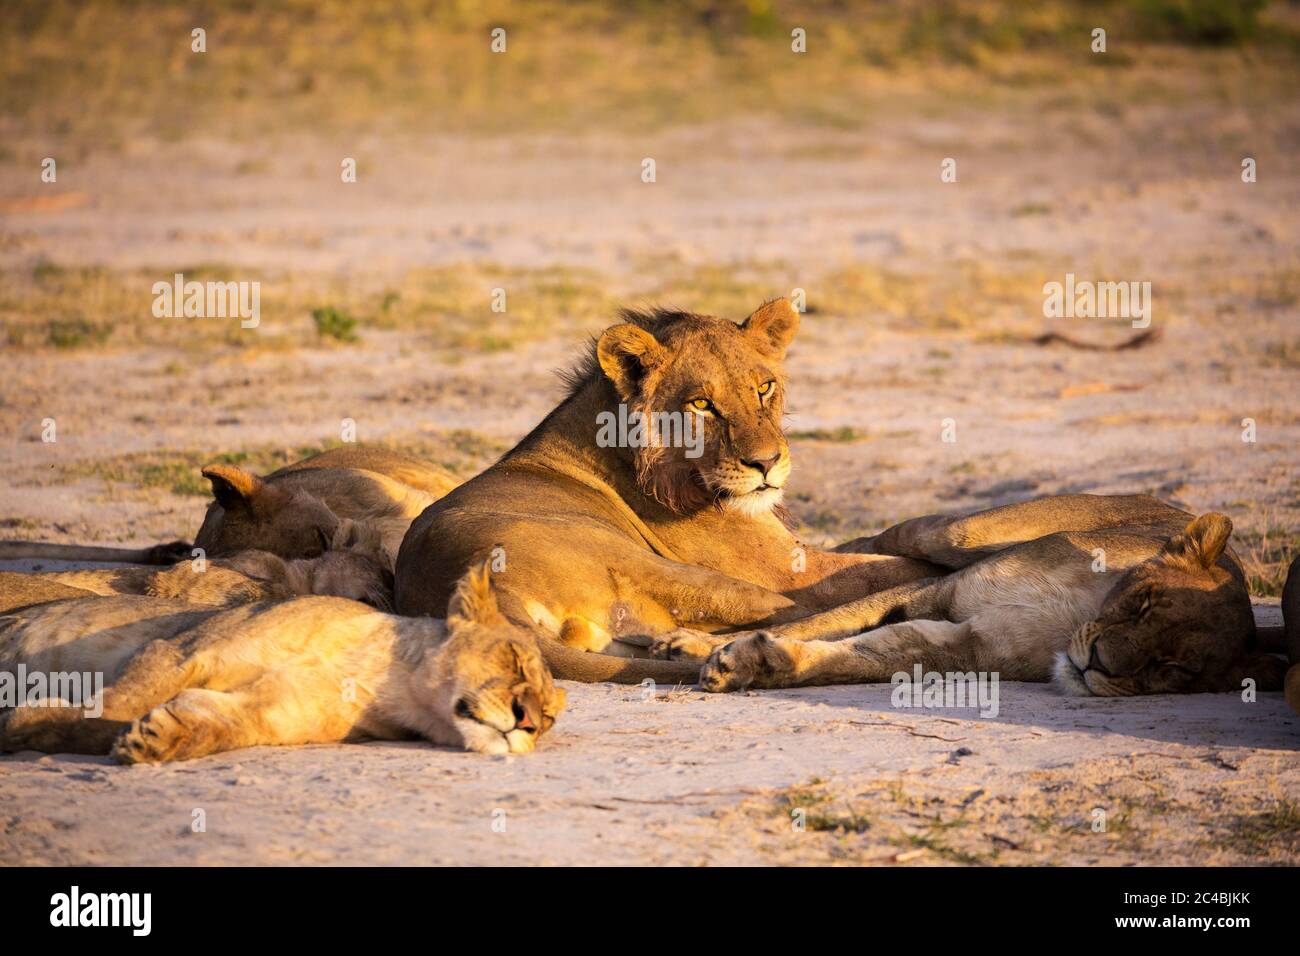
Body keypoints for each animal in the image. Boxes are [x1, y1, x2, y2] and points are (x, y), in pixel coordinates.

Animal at [0, 561, 564, 762]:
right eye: (514, 659)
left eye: (549, 719)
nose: (527, 723)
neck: (389, 682)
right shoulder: (184, 650)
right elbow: (114, 702)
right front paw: (20, 724)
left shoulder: (266, 713)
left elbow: (215, 725)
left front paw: (156, 740)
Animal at [395, 299, 939, 684]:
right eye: (701, 404)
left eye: (764, 388)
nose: (766, 463)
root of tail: (462, 593)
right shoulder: (785, 568)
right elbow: (878, 570)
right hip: (672, 572)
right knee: (808, 615)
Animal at [685, 496, 1287, 697]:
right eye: (1142, 600)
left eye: (1173, 668)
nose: (1096, 663)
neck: (1076, 615)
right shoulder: (942, 591)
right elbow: (819, 620)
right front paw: (693, 645)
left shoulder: (963, 647)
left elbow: (857, 656)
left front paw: (750, 664)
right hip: (964, 532)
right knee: (891, 544)